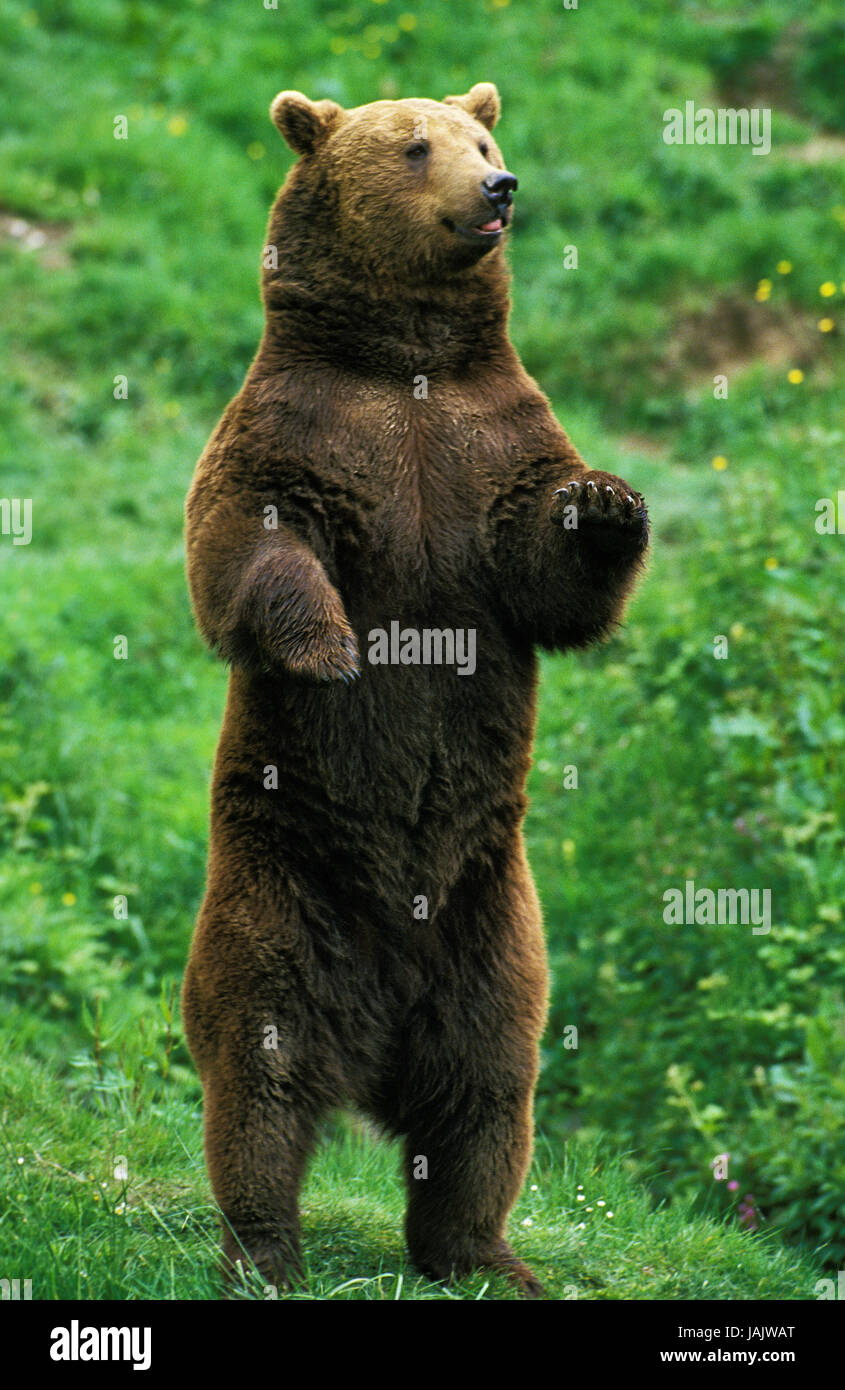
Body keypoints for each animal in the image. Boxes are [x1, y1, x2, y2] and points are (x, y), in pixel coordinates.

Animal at [181, 81, 648, 1300]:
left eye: (482, 136)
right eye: (412, 147)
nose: (499, 186)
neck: (406, 361)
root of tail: (377, 1031)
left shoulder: (492, 442)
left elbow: (546, 566)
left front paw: (609, 503)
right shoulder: (297, 430)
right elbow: (248, 544)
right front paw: (334, 652)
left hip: (494, 922)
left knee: (487, 1091)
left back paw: (484, 1256)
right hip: (277, 889)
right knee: (259, 1076)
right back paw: (263, 1252)